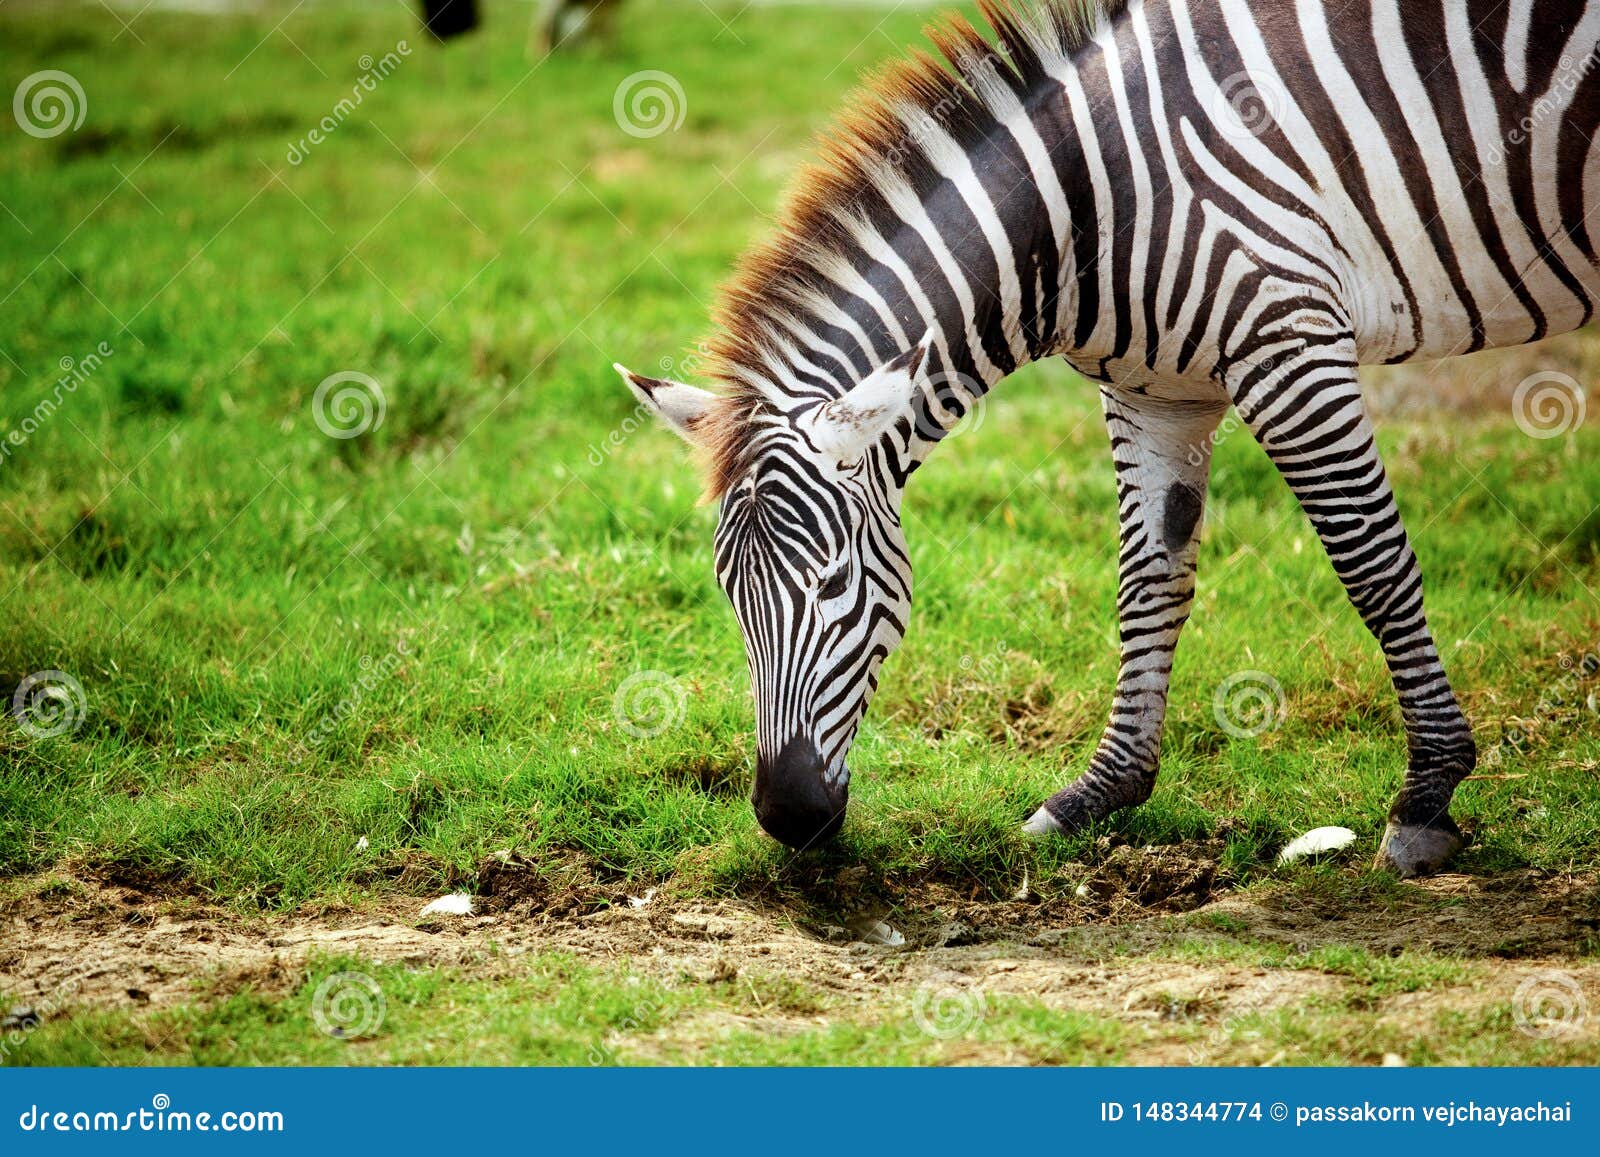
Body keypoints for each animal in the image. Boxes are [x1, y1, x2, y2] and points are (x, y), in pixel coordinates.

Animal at [612, 0, 1599, 874]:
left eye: (834, 583)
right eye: (728, 593)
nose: (788, 818)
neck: (1085, 208)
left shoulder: (1288, 339)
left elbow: (1374, 565)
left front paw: (1427, 796)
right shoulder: (1156, 392)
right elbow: (1148, 583)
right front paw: (1102, 792)